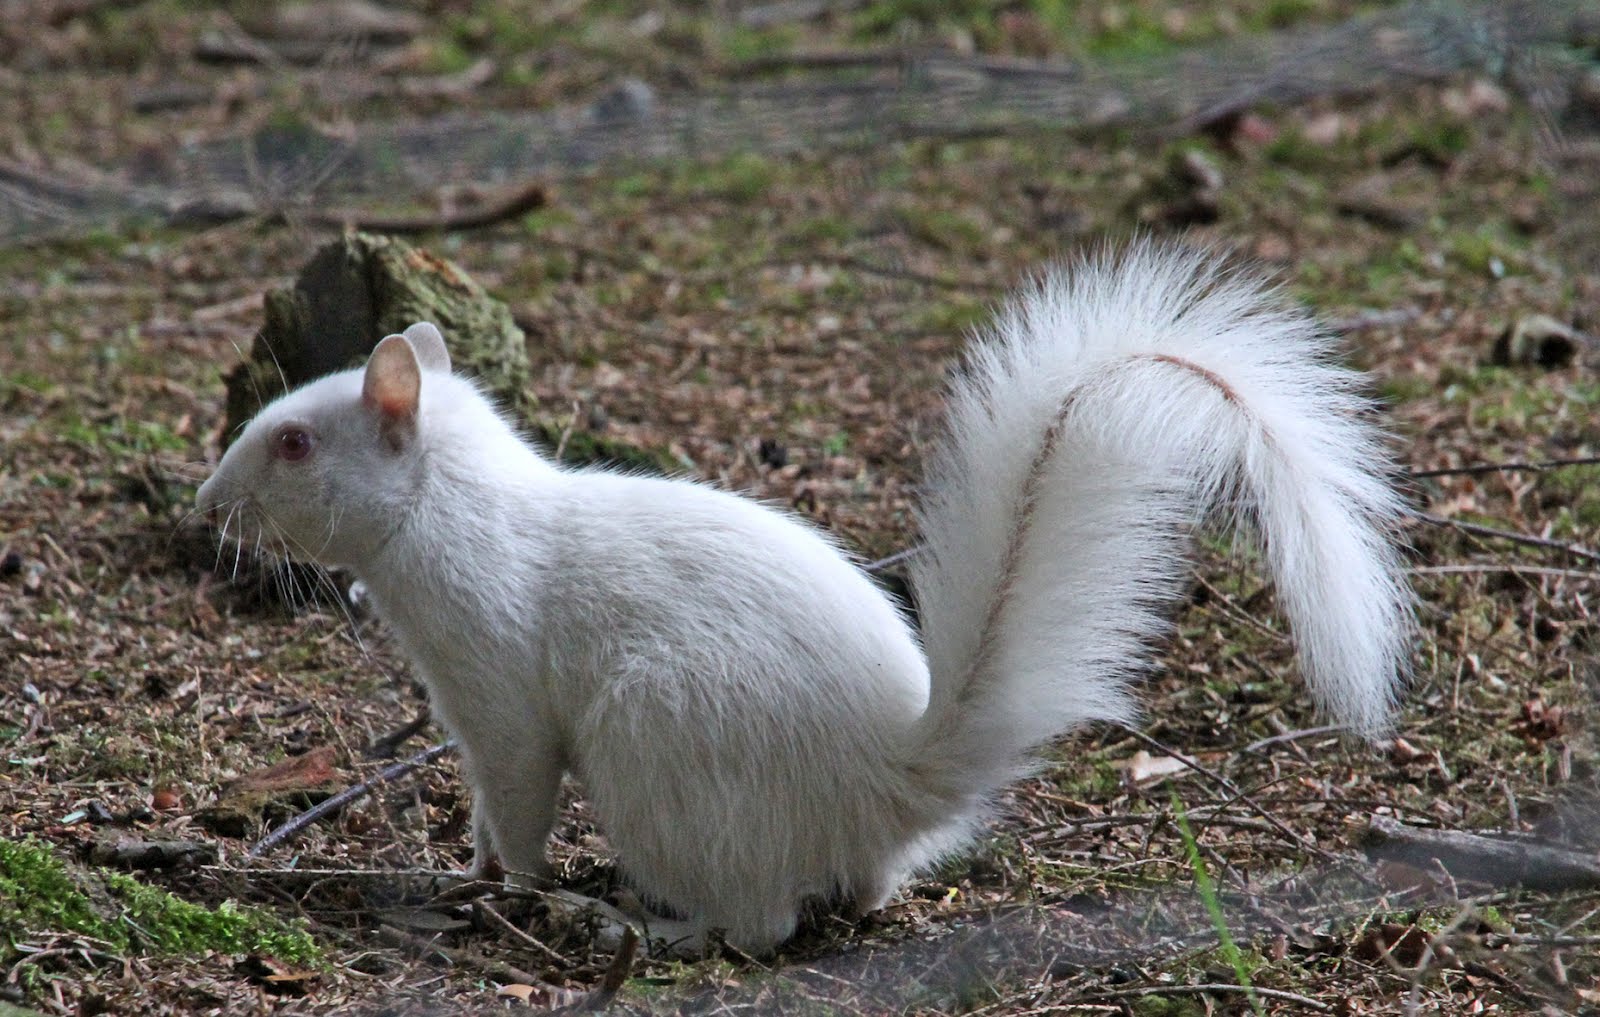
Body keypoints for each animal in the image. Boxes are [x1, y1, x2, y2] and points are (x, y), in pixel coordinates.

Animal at [196, 239, 1411, 954]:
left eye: (295, 441)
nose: (210, 500)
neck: (451, 512)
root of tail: (886, 777)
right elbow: (486, 799)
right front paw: (476, 868)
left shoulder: (497, 691)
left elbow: (521, 791)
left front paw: (512, 884)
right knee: (860, 895)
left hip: (659, 749)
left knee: (764, 924)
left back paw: (651, 926)